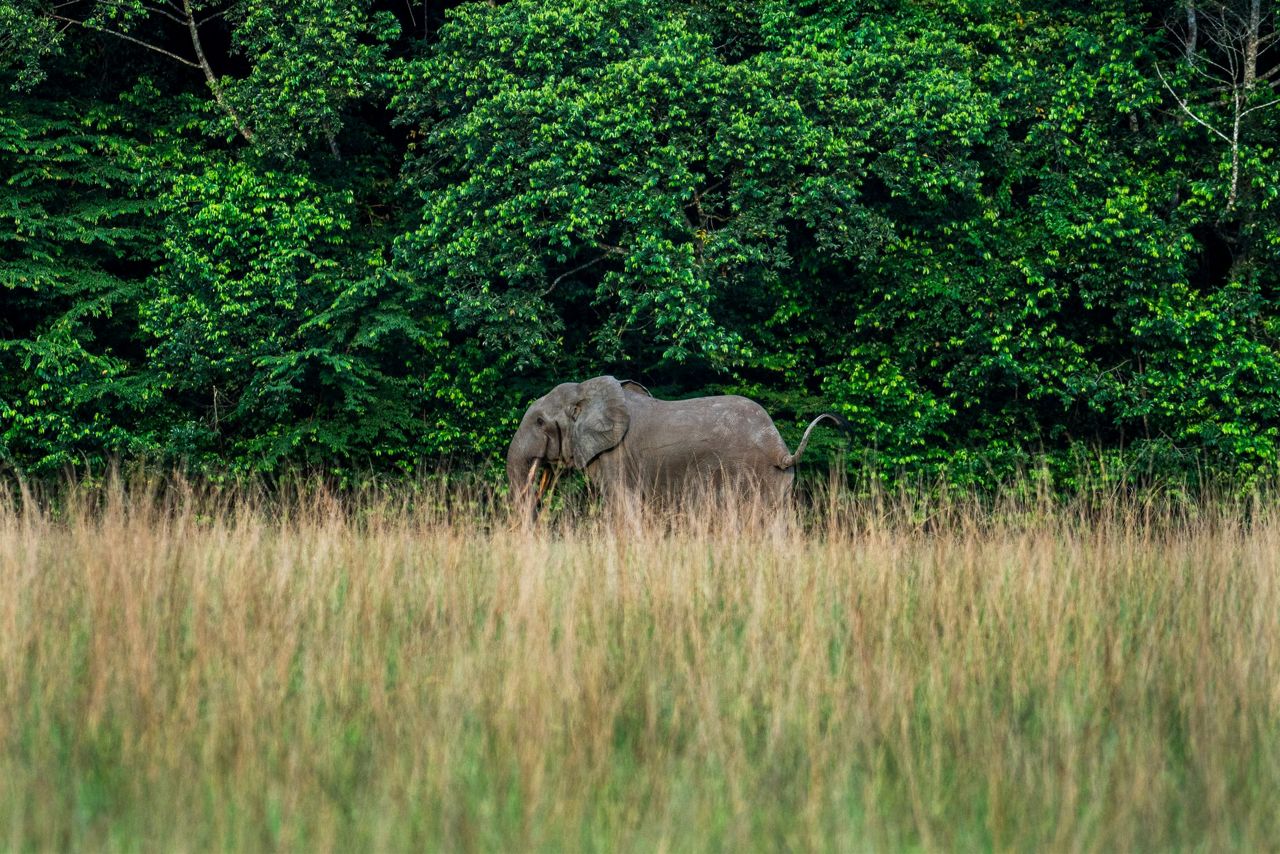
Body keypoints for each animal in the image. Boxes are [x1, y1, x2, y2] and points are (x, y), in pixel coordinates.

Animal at [506, 375, 843, 517]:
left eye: (539, 422)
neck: (587, 390)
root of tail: (779, 448)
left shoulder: (617, 457)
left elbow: (621, 504)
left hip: (747, 475)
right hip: (778, 482)